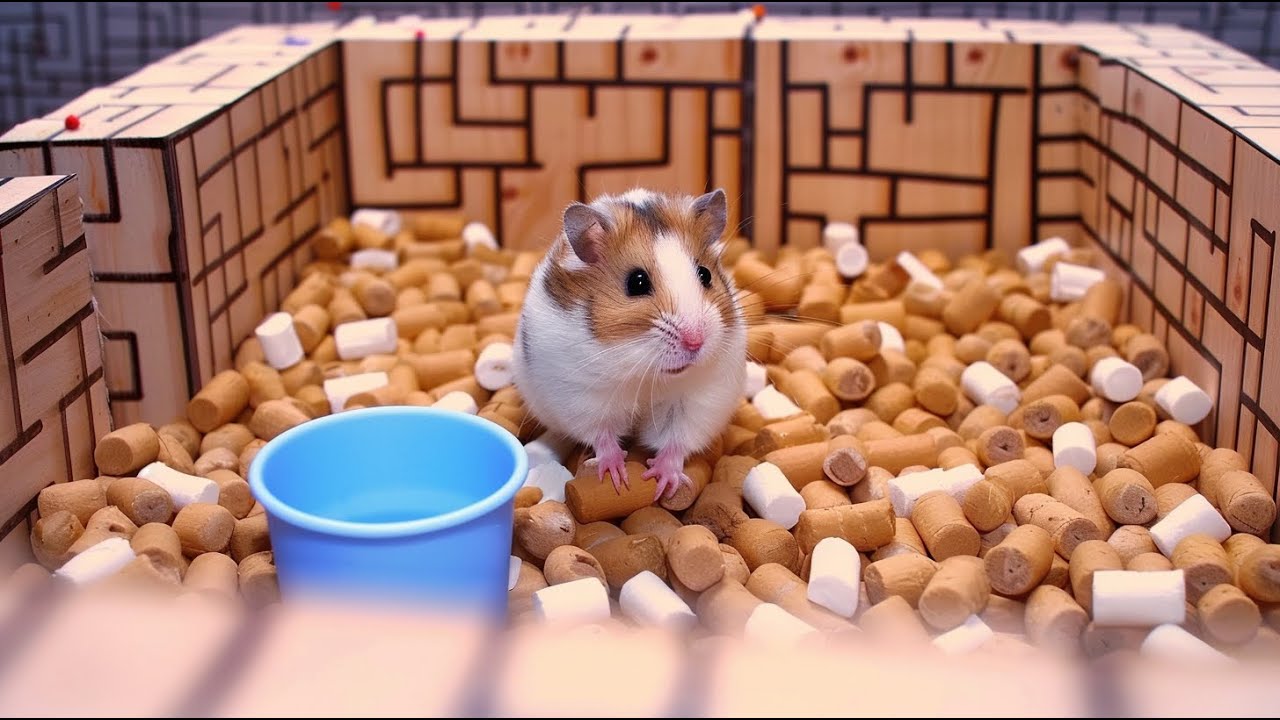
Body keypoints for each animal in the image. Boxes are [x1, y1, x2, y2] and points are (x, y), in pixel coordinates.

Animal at [512, 188, 747, 501]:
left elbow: (676, 440)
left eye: (705, 275)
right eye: (636, 282)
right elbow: (602, 435)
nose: (695, 341)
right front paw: (616, 477)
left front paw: (663, 480)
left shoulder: (698, 398)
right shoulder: (584, 397)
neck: (647, 374)